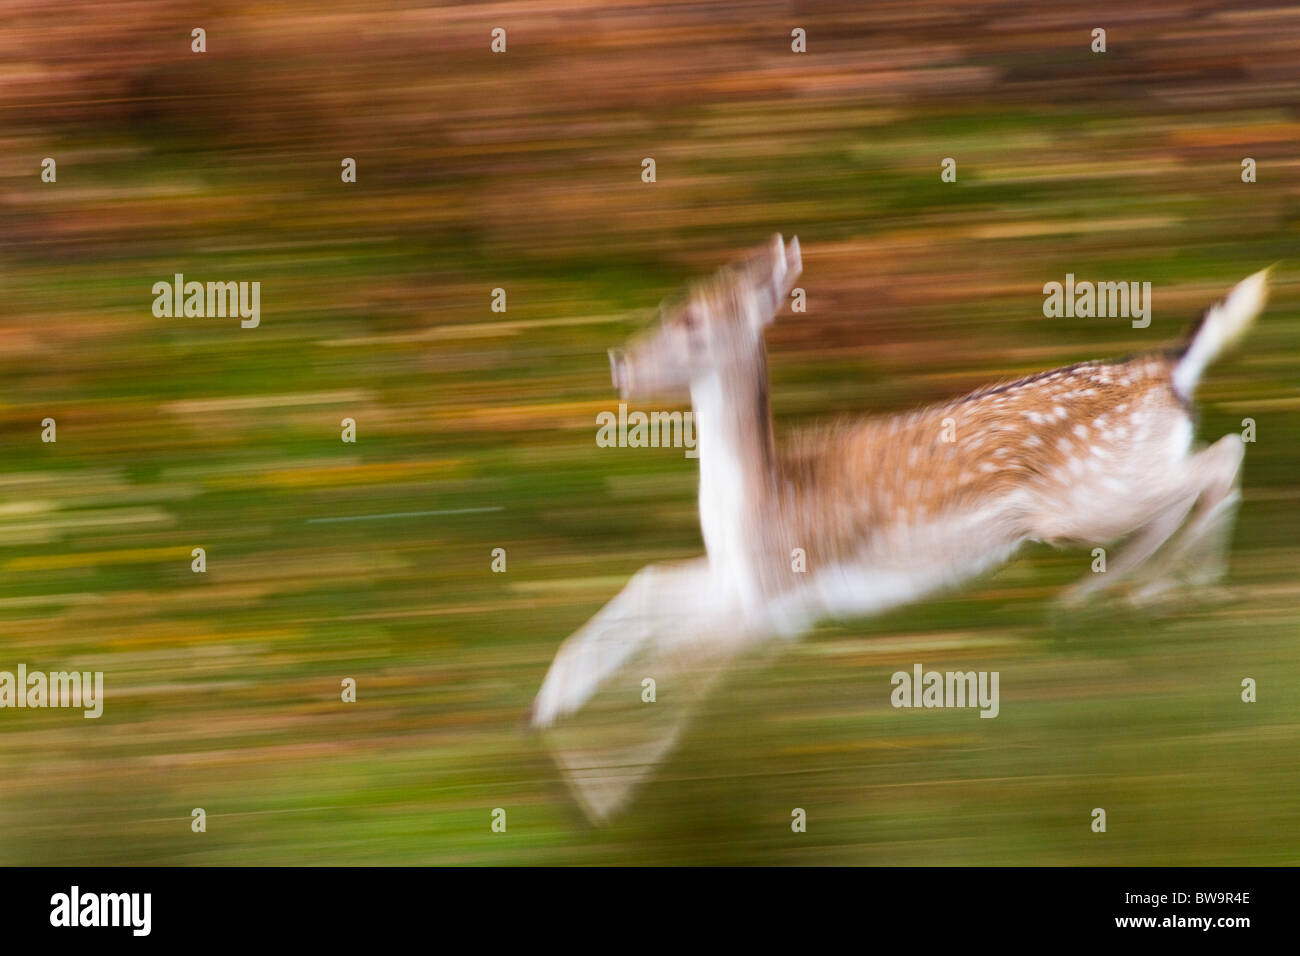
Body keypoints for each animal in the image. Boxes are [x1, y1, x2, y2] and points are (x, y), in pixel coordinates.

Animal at [532, 234, 1270, 821]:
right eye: (665, 306)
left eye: (690, 320)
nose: (620, 363)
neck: (757, 499)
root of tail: (1166, 369)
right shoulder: (745, 582)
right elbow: (646, 589)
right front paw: (548, 707)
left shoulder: (778, 595)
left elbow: (679, 664)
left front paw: (600, 784)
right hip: (1106, 488)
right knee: (1196, 477)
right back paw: (1117, 595)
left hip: (1085, 496)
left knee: (1220, 459)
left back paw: (1179, 587)